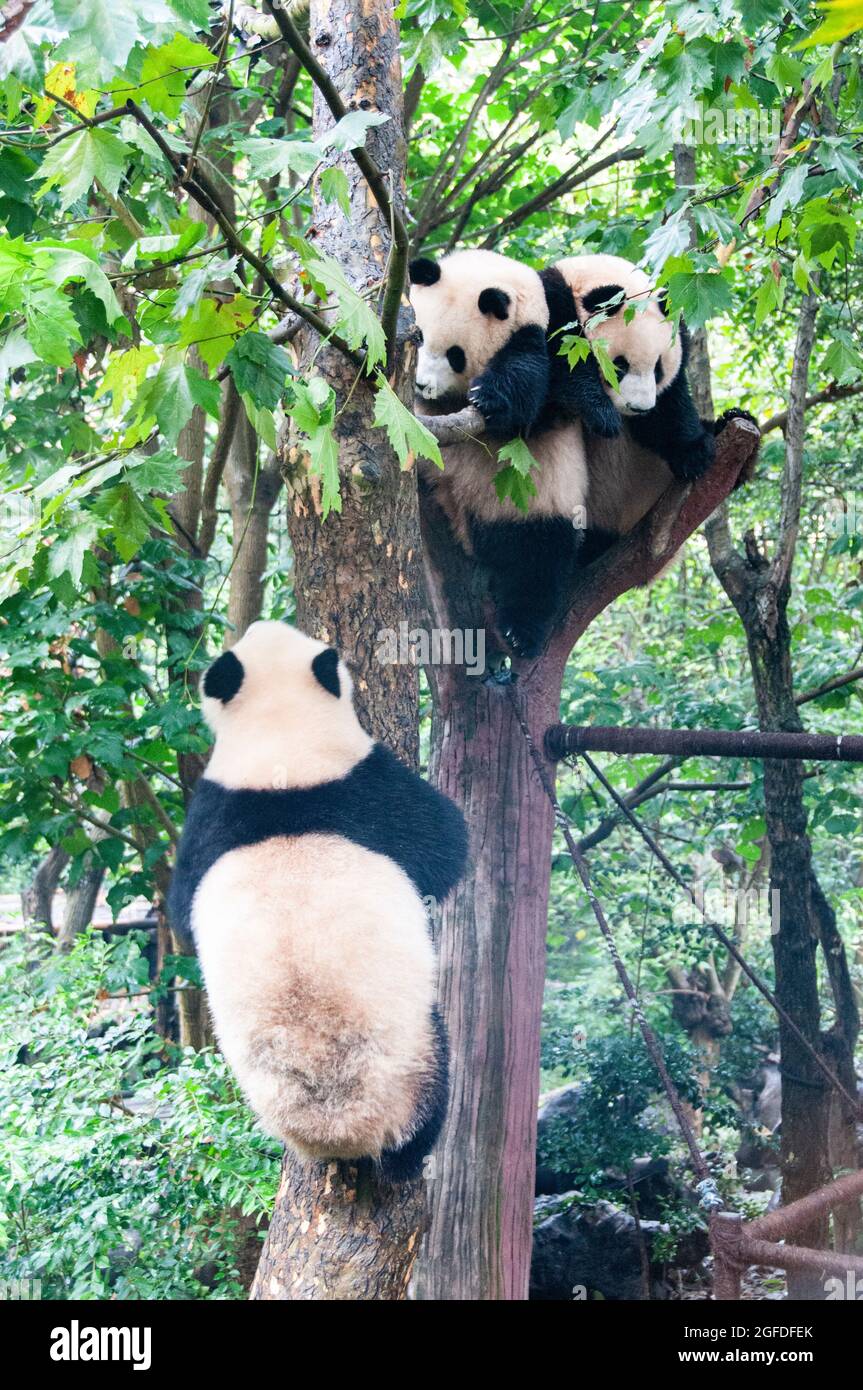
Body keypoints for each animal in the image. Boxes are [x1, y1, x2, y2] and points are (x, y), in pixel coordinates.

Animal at [167, 620, 468, 1182]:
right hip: (413, 1057)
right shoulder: (367, 787)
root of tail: (341, 1131)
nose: (262, 622)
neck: (279, 750)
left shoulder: (210, 816)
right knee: (434, 1085)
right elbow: (446, 843)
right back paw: (412, 1157)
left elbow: (179, 908)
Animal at [410, 249, 589, 659]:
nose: (421, 386)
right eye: (419, 337)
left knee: (537, 563)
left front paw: (489, 398)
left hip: (535, 505)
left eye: (455, 355)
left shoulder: (543, 340)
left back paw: (521, 633)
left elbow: (531, 396)